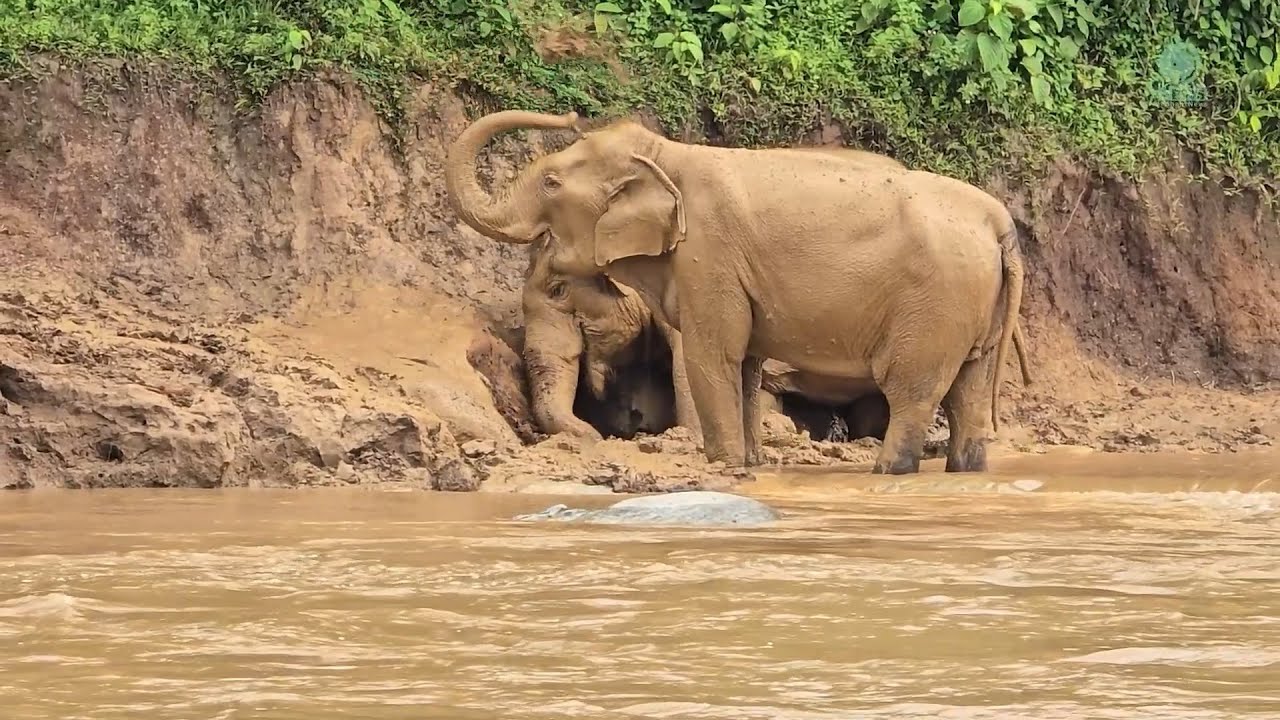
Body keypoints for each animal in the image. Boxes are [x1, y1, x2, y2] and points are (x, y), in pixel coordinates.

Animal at [445, 110, 1028, 475]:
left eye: (550, 184)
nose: (569, 115)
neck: (666, 155)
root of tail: (1000, 222)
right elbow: (744, 362)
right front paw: (751, 464)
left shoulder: (708, 255)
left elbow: (710, 356)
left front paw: (722, 464)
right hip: (976, 304)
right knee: (970, 388)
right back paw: (964, 468)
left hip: (936, 302)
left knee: (913, 389)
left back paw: (888, 470)